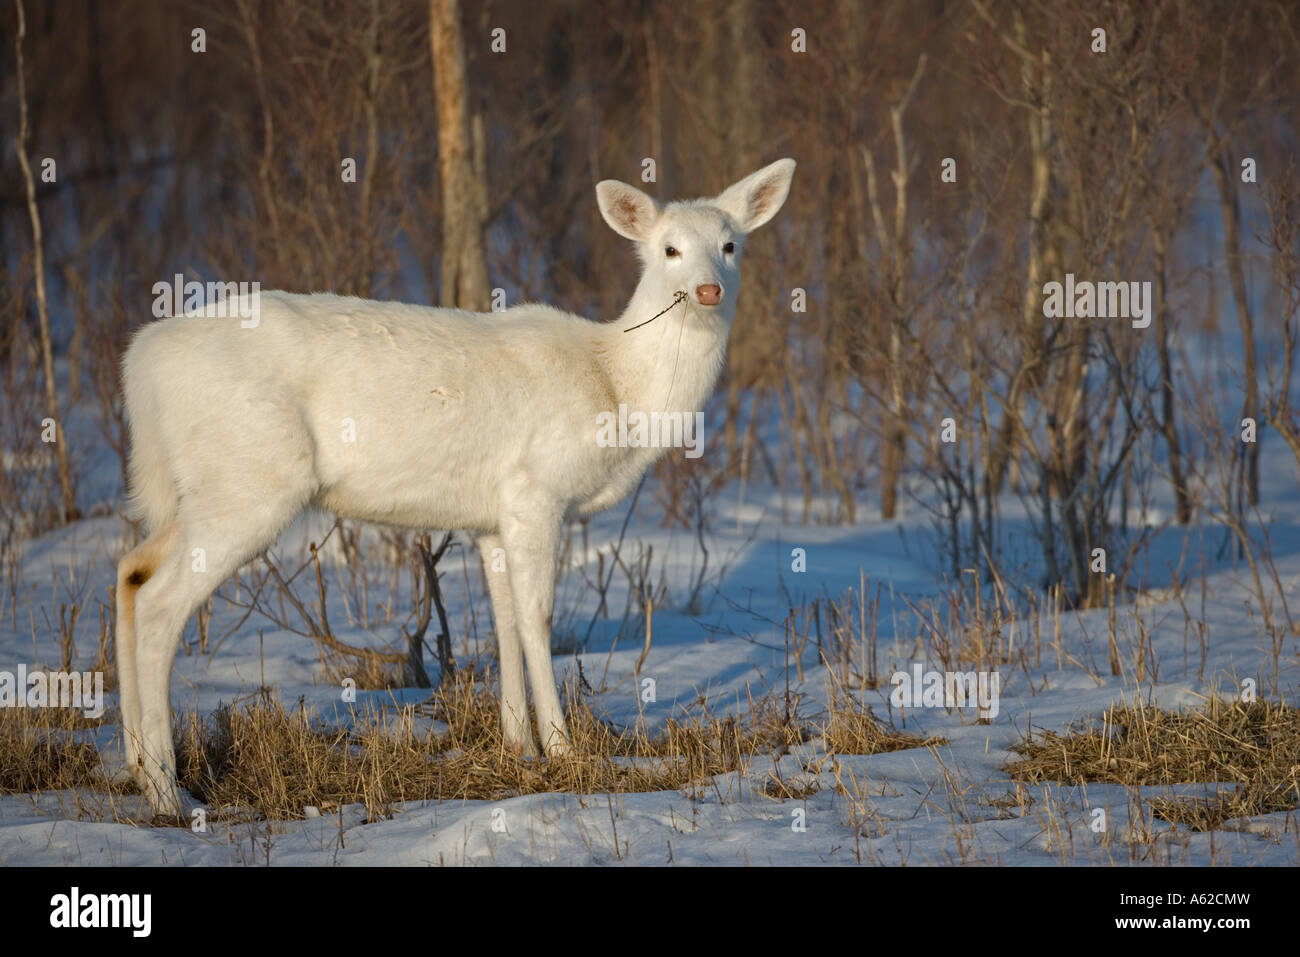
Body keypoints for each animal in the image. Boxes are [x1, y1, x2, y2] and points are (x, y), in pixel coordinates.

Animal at [114, 158, 796, 819]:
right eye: (669, 249)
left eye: (731, 245)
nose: (708, 289)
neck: (618, 389)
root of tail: (139, 363)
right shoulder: (535, 490)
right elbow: (538, 618)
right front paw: (563, 751)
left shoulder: (492, 519)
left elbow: (503, 621)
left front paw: (518, 747)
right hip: (253, 480)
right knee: (161, 603)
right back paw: (170, 793)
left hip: (193, 490)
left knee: (131, 570)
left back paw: (139, 770)